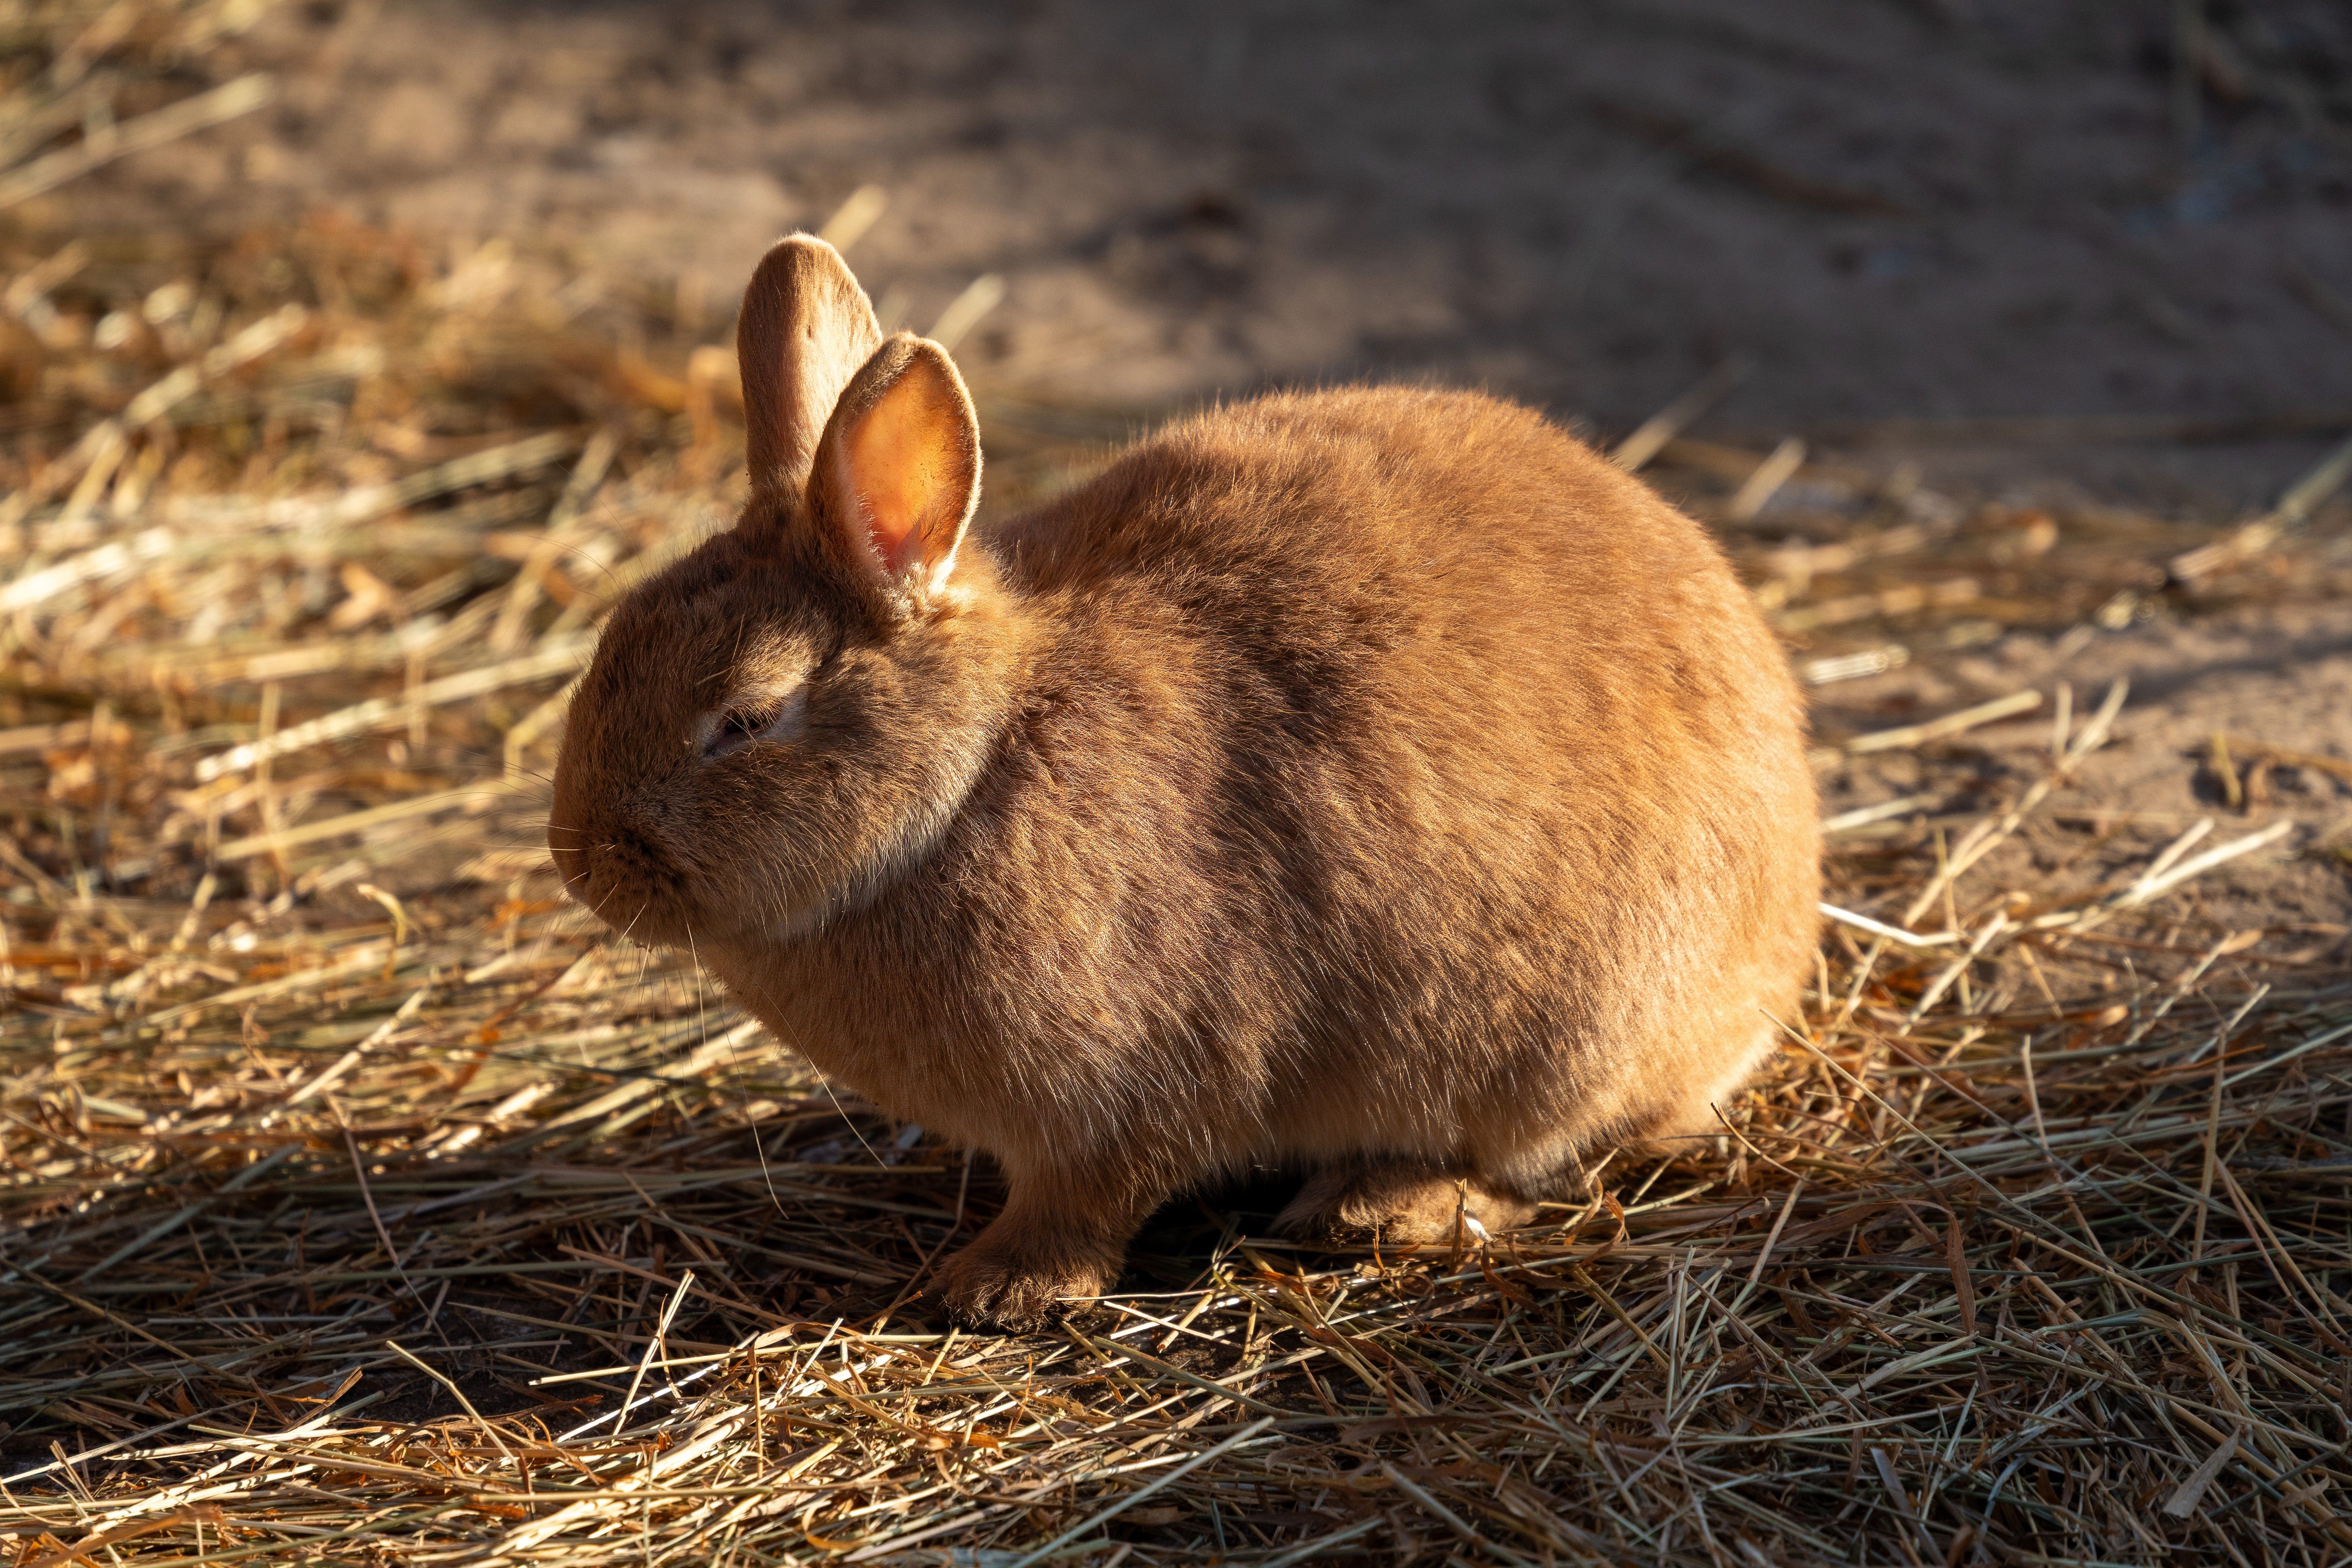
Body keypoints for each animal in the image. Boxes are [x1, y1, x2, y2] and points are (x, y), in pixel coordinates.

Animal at [549, 234, 1821, 1329]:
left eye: (745, 719)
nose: (579, 864)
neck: (973, 774)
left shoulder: (1130, 1094)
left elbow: (1091, 1197)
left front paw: (997, 1287)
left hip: (1567, 1044)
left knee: (1553, 1161)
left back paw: (1376, 1209)